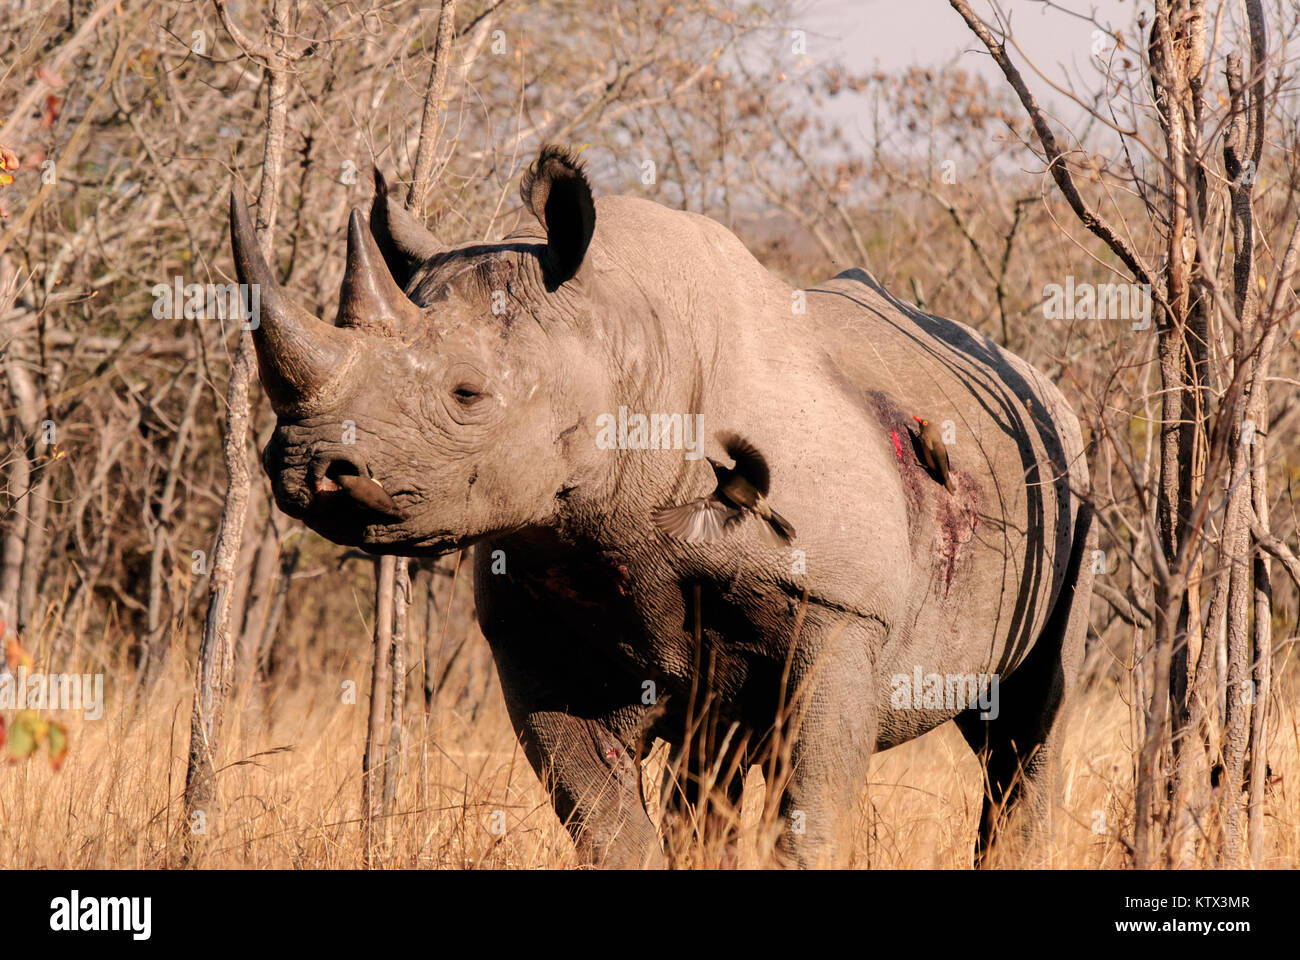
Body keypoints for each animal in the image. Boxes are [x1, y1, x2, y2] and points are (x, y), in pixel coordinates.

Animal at [228, 145, 1095, 868]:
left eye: (467, 395)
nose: (306, 469)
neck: (617, 339)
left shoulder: (844, 612)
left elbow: (811, 813)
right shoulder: (540, 619)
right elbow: (605, 823)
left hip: (1067, 467)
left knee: (1030, 722)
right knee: (710, 770)